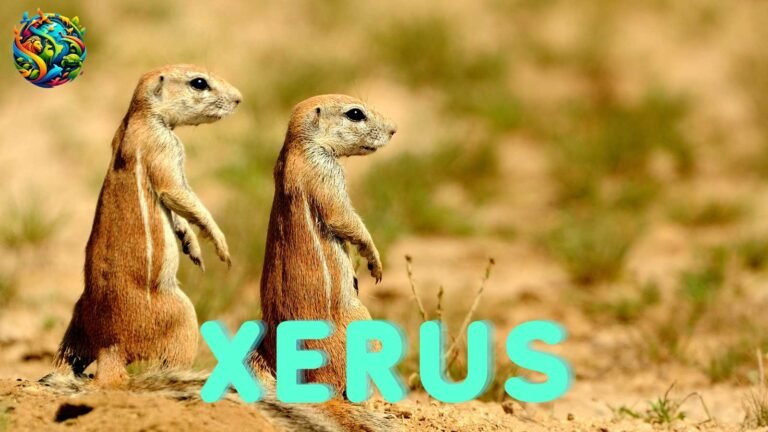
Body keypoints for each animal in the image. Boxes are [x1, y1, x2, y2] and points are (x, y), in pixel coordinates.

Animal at [53, 64, 240, 386]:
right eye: (199, 83)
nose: (239, 99)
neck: (139, 117)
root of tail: (110, 348)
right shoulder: (166, 149)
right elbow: (177, 192)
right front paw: (220, 245)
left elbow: (178, 212)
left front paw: (191, 244)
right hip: (183, 315)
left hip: (77, 323)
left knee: (73, 358)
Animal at [257, 94, 397, 395]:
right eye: (355, 114)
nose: (394, 129)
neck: (300, 146)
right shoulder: (326, 173)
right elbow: (342, 217)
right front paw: (374, 261)